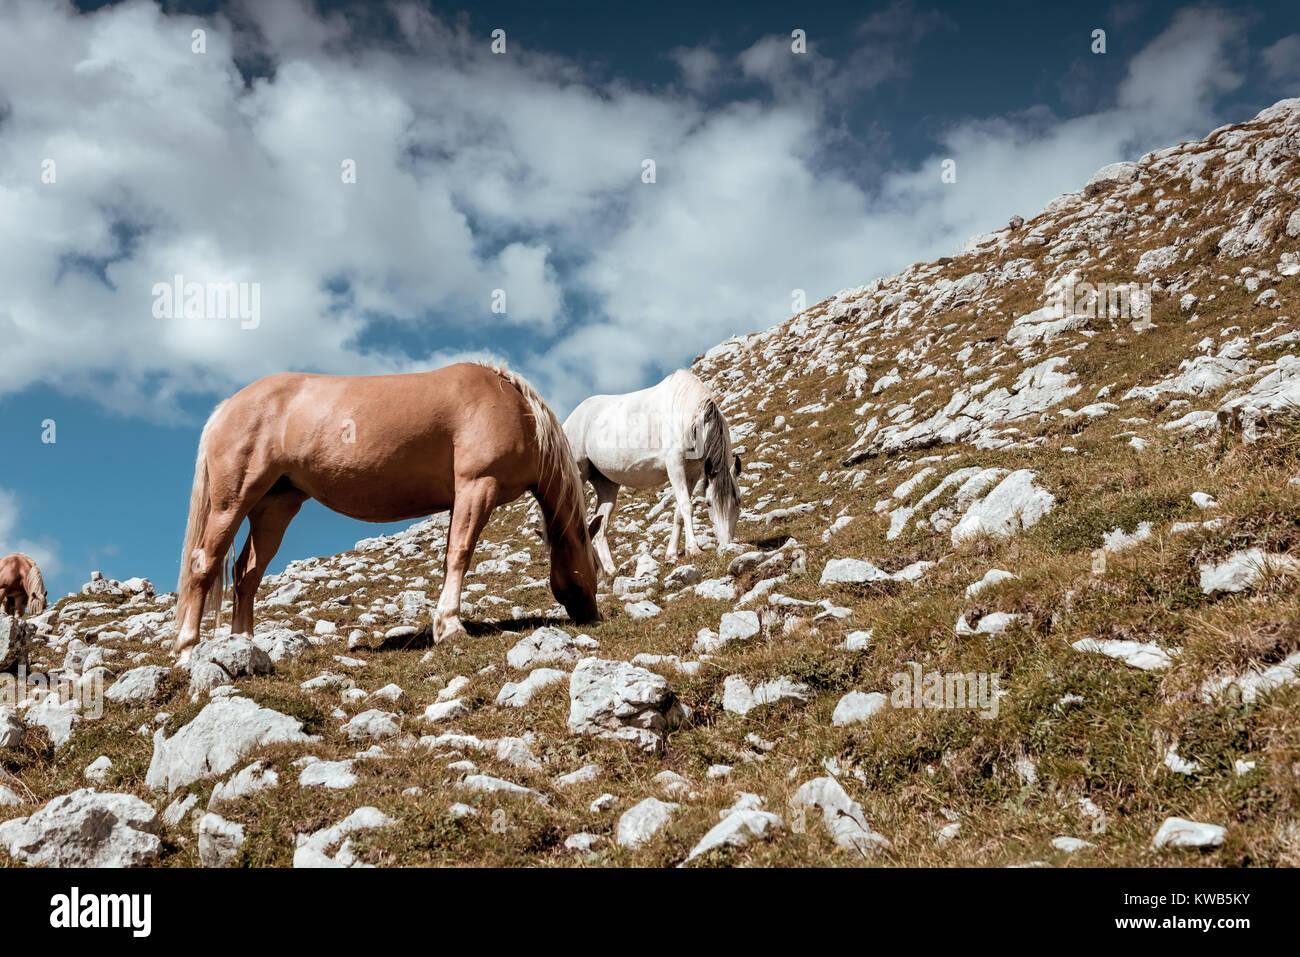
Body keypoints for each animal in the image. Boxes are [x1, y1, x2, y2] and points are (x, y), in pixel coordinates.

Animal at [174, 362, 603, 662]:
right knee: (204, 563)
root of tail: (228, 407)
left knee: (246, 573)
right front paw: (450, 627)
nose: (593, 617)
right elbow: (460, 554)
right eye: (595, 567)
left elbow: (450, 557)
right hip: (232, 503)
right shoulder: (477, 486)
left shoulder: (462, 499)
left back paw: (244, 644)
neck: (514, 409)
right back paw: (188, 649)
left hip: (275, 507)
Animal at [563, 369, 741, 576]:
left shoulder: (692, 472)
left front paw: (671, 554)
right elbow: (686, 506)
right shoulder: (674, 464)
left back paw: (609, 569)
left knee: (601, 526)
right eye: (709, 503)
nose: (727, 547)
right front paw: (693, 549)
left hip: (606, 485)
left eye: (738, 501)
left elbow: (679, 511)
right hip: (578, 475)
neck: (687, 412)